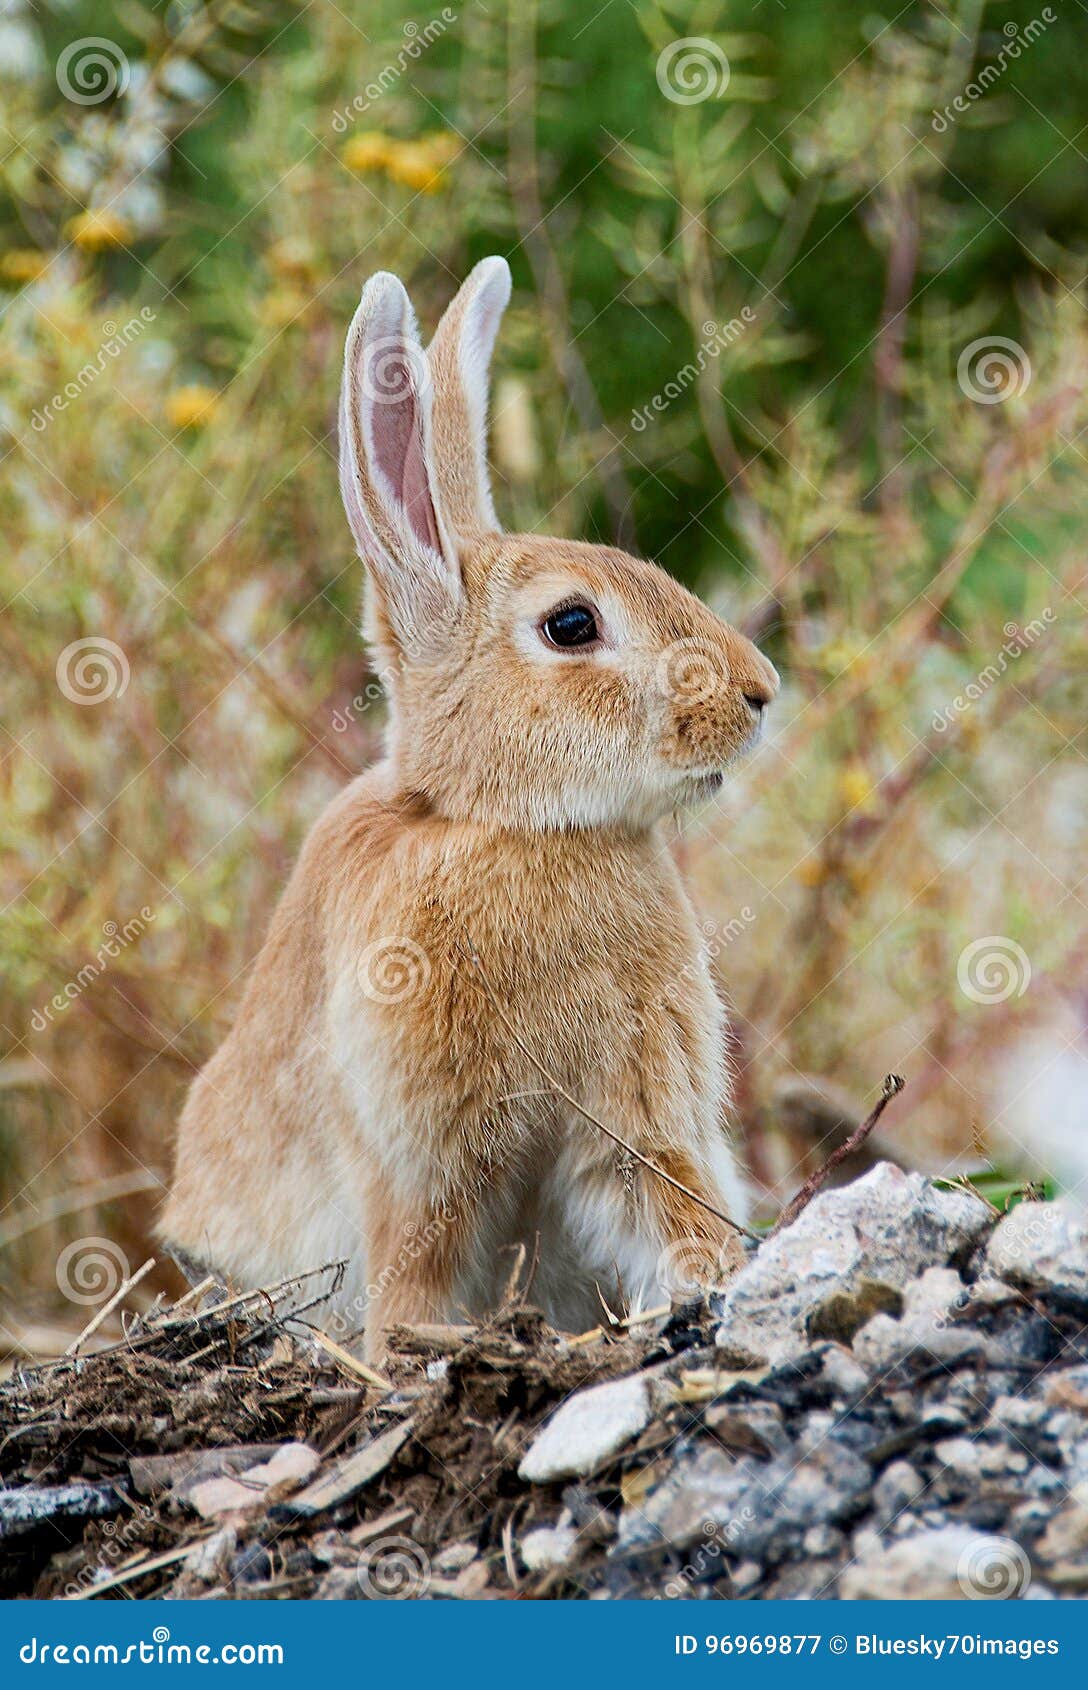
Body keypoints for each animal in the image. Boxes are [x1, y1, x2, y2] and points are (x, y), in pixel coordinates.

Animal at [160, 256, 779, 1361]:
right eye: (571, 625)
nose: (760, 693)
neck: (508, 826)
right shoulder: (417, 1156)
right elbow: (418, 1263)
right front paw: (407, 1359)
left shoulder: (634, 1120)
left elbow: (664, 1205)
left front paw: (714, 1282)